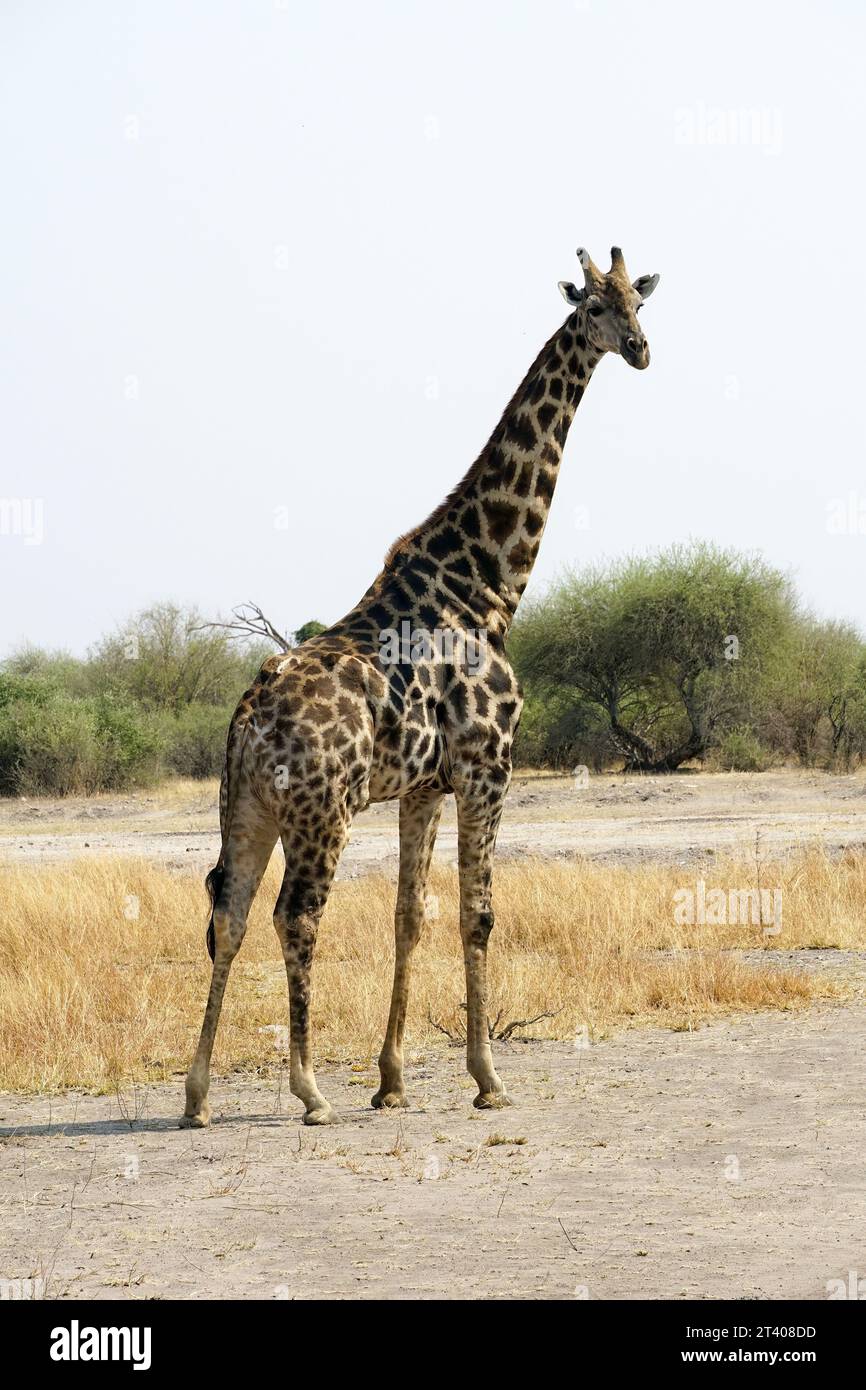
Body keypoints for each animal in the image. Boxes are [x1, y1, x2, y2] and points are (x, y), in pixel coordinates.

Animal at [180, 245, 660, 1127]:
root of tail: (249, 717)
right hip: (322, 809)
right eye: (594, 308)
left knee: (227, 913)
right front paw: (487, 1078)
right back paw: (308, 1090)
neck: (490, 582)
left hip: (247, 805)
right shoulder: (488, 766)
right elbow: (479, 914)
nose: (642, 351)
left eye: (638, 302)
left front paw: (393, 1079)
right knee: (296, 916)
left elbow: (411, 916)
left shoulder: (423, 786)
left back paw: (195, 1096)